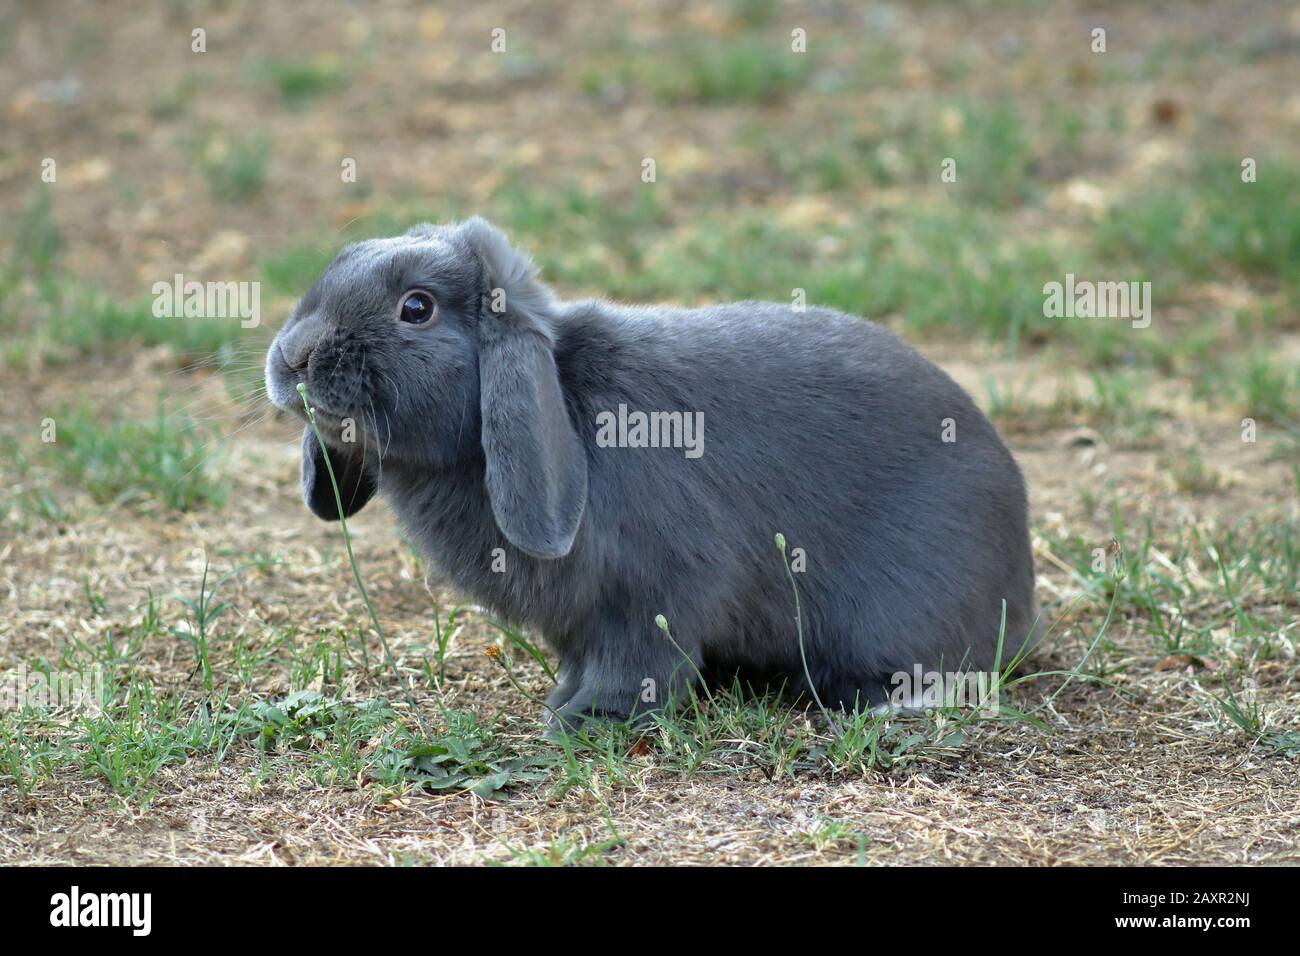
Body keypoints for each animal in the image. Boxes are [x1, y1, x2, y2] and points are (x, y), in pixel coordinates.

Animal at [265, 217, 1038, 732]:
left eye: (416, 307)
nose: (294, 357)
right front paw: (562, 702)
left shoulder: (652, 593)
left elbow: (637, 661)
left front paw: (585, 722)